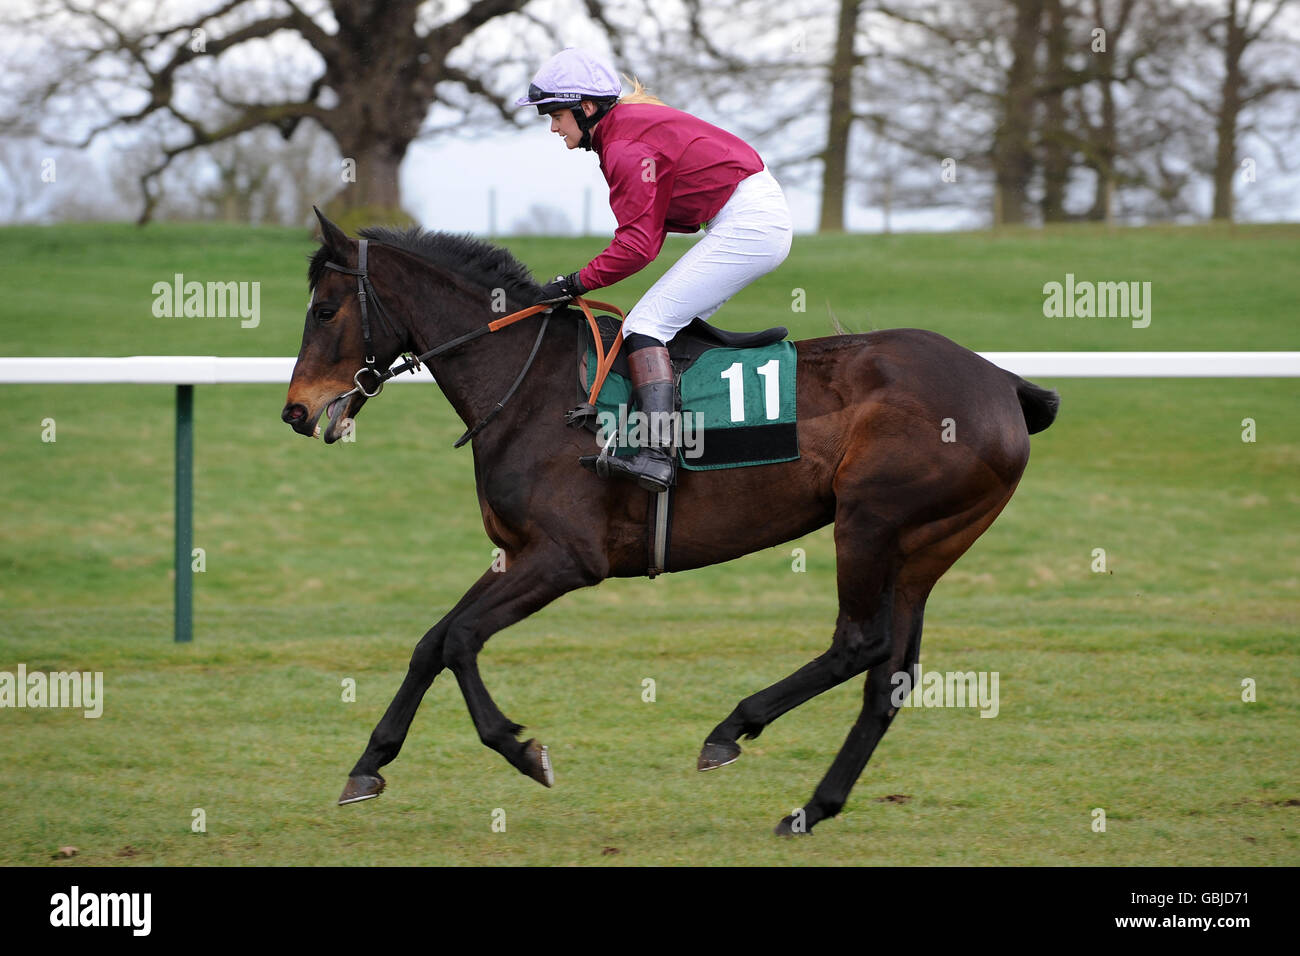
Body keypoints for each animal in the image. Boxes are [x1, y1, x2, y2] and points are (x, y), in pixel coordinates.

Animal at [282, 208, 1059, 835]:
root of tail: (1004, 383)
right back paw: (812, 808)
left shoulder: (567, 559)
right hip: (923, 548)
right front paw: (368, 765)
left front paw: (522, 749)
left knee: (858, 644)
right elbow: (432, 642)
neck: (528, 385)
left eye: (324, 310)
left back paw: (733, 728)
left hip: (871, 525)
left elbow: (463, 639)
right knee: (888, 678)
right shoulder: (518, 553)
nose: (295, 410)